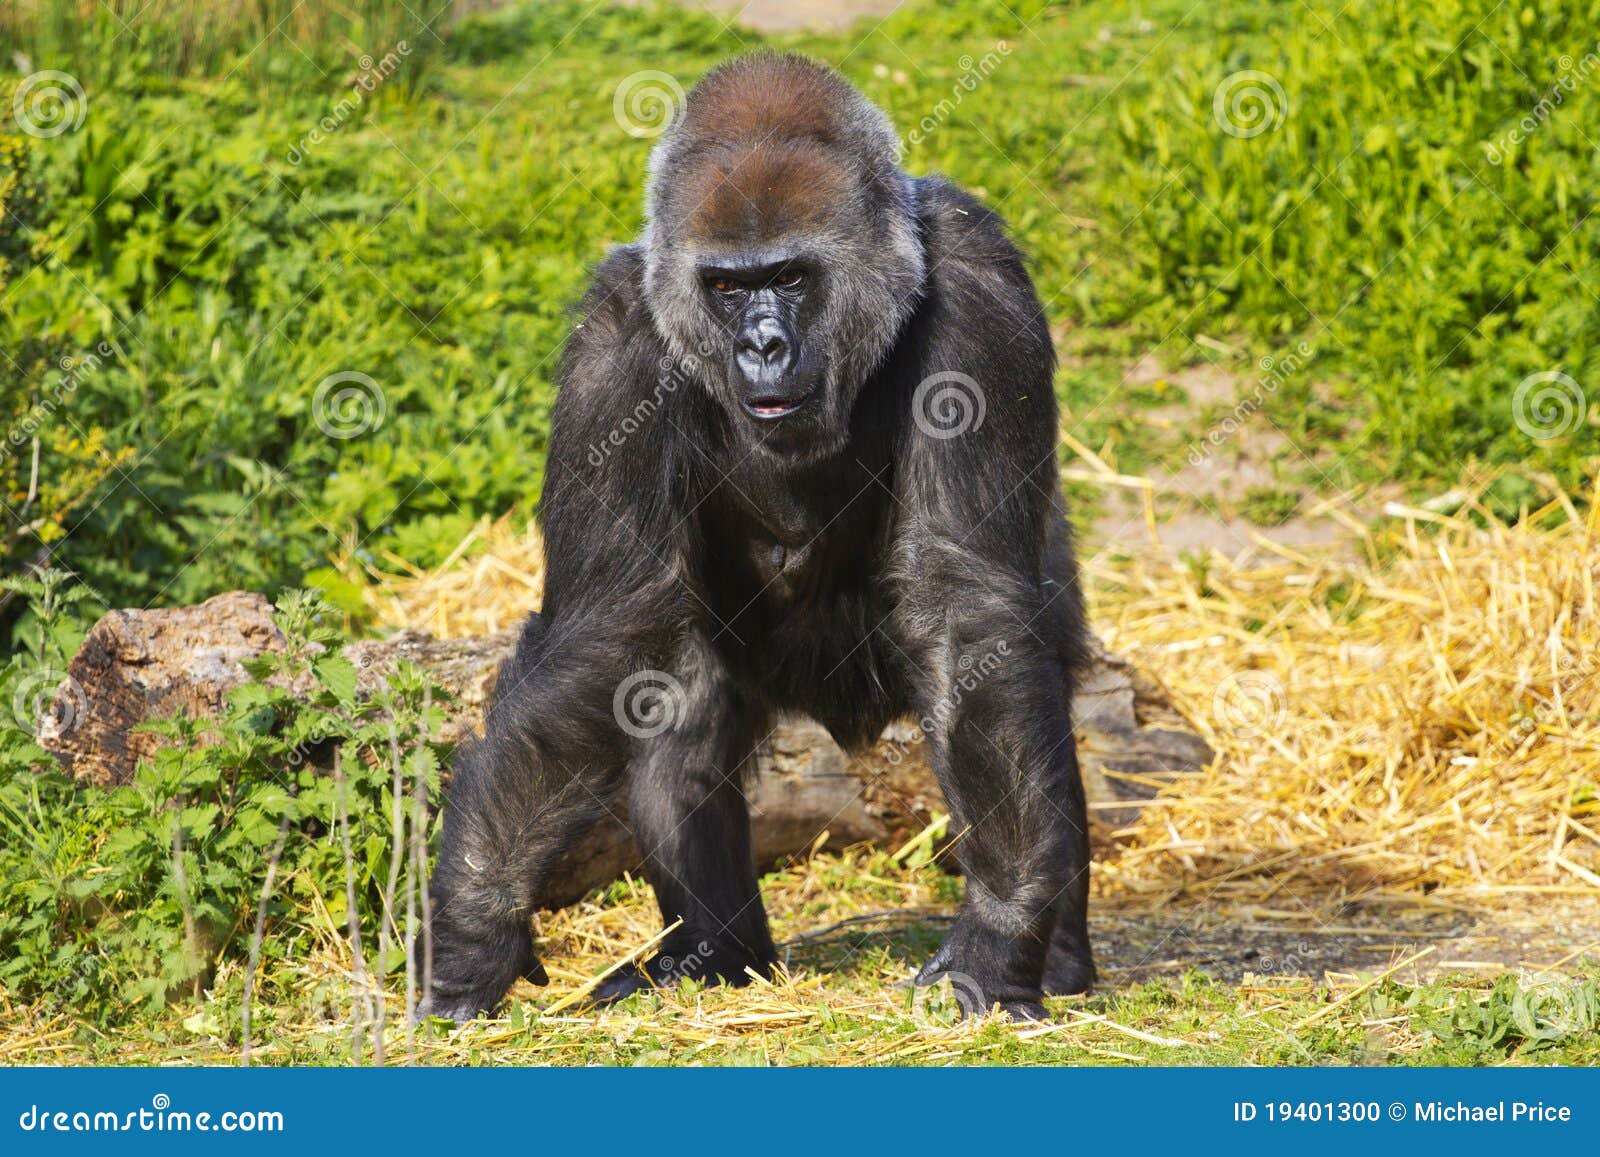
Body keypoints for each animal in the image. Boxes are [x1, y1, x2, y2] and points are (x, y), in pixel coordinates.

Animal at [424, 51, 1093, 1023]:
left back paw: (1063, 955)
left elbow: (962, 604)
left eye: (793, 276)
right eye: (729, 286)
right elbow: (612, 623)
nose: (764, 346)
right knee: (675, 695)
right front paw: (479, 912)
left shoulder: (980, 283)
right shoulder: (612, 341)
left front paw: (1000, 938)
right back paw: (716, 955)